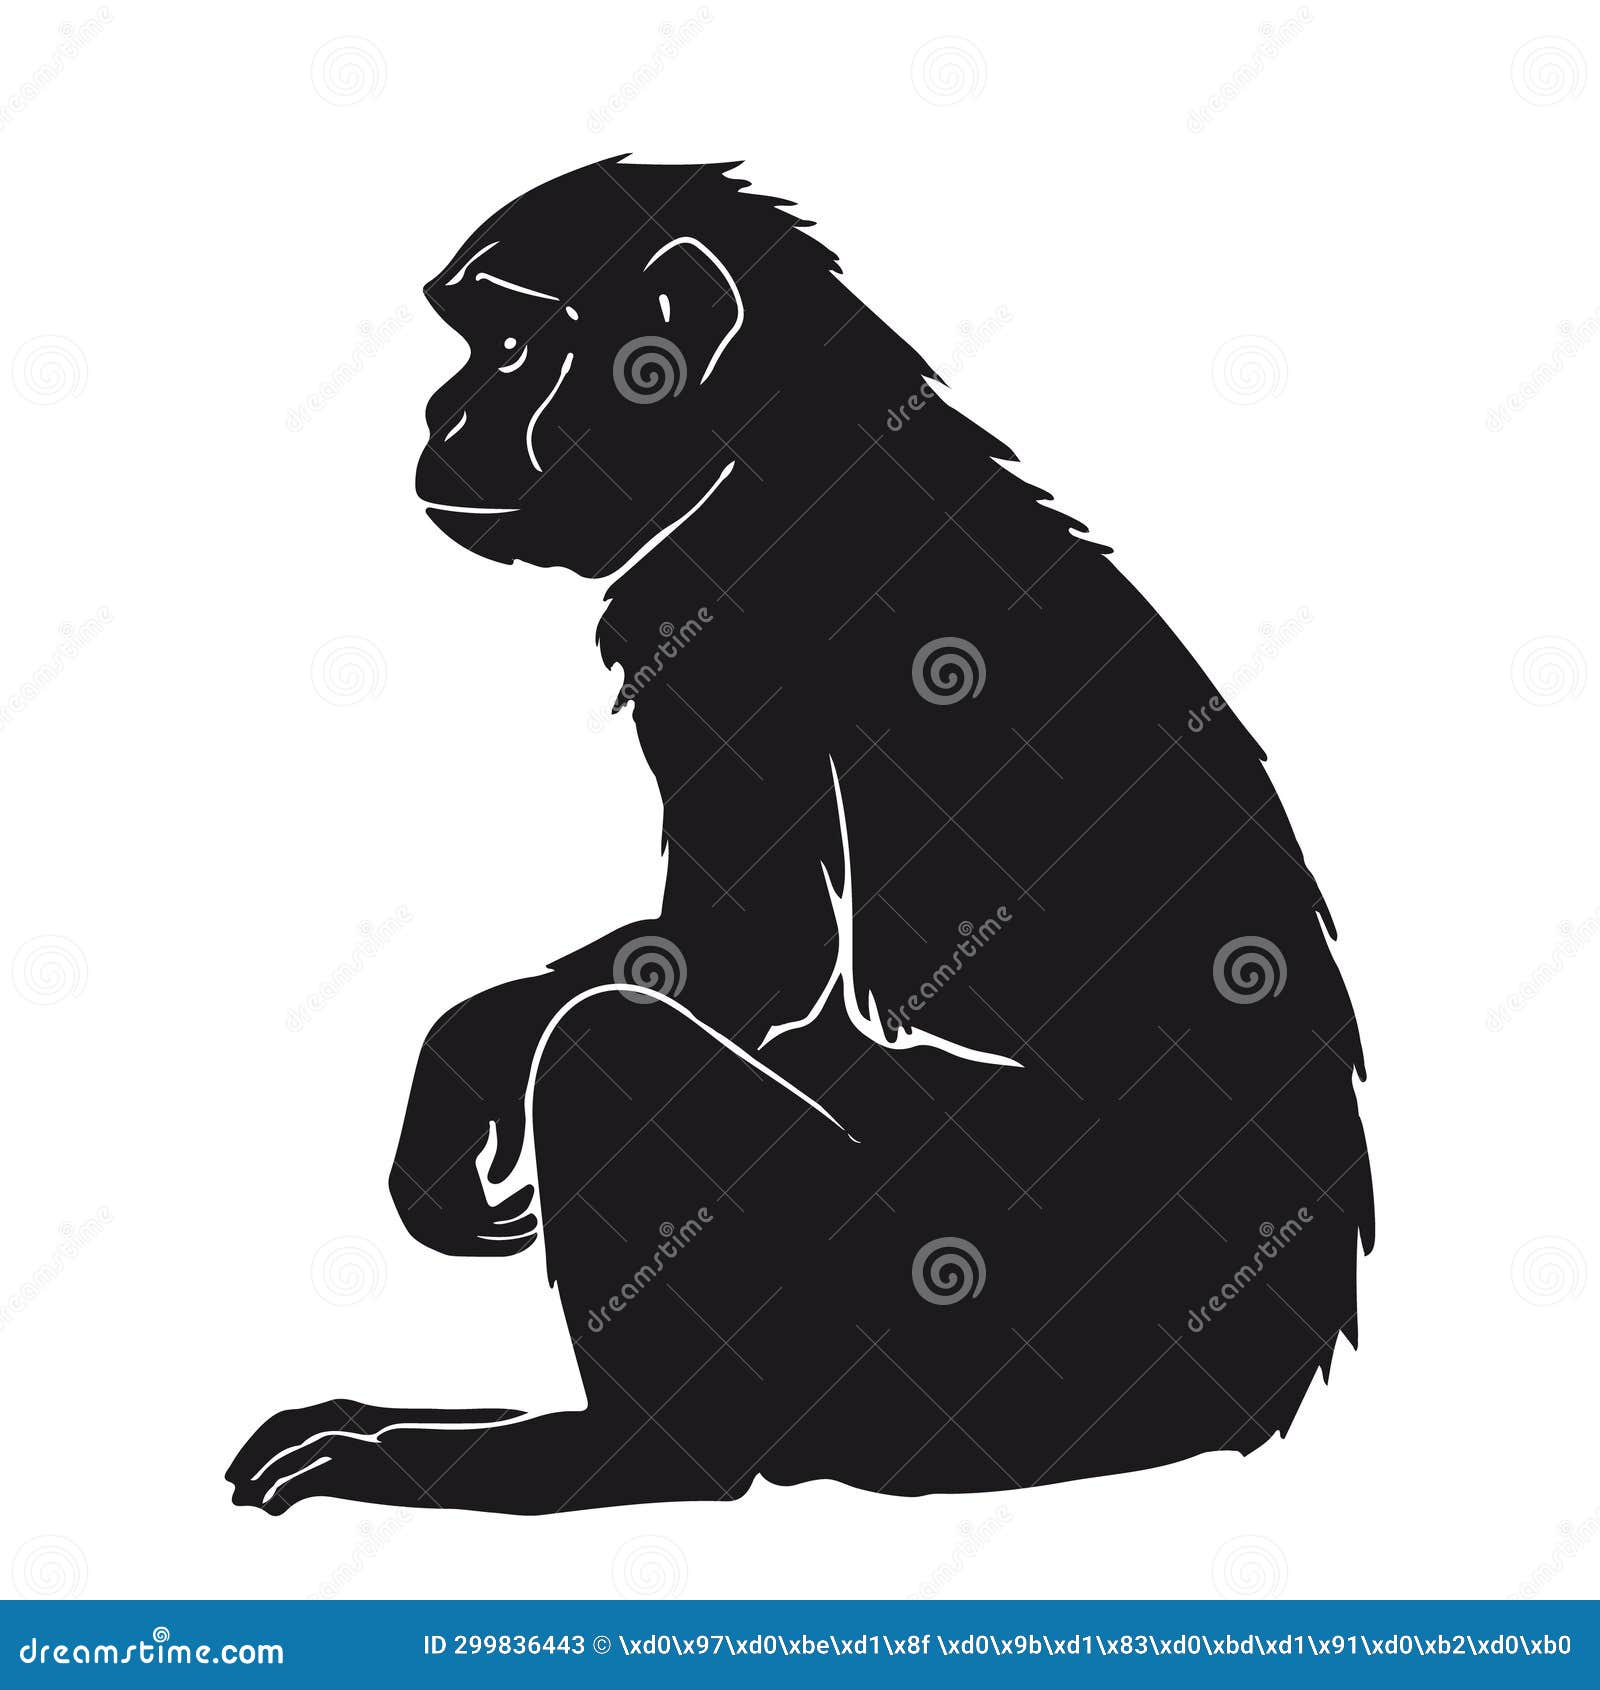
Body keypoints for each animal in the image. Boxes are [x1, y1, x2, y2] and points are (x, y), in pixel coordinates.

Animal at [228, 159, 1372, 1516]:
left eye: (506, 348)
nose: (441, 406)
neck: (775, 440)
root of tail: (1268, 1385)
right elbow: (726, 962)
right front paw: (473, 1046)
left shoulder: (713, 614)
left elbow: (742, 953)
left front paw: (480, 1056)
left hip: (971, 1317)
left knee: (619, 1052)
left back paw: (600, 1451)